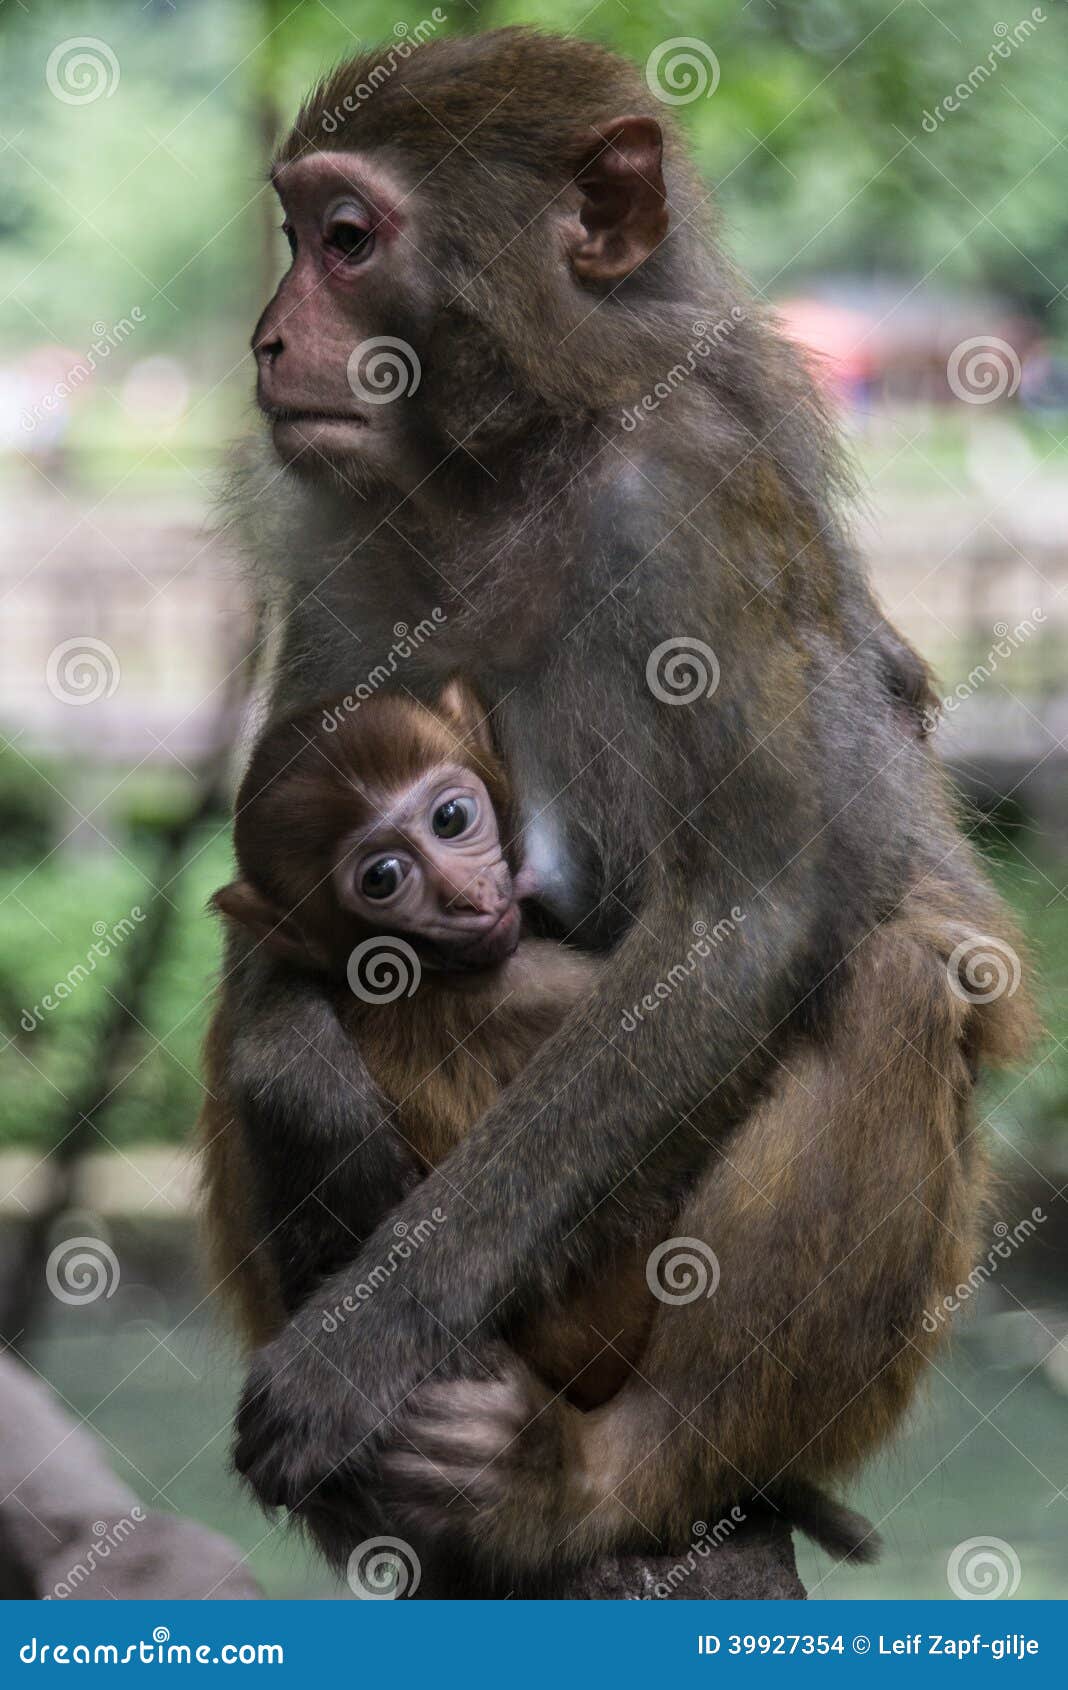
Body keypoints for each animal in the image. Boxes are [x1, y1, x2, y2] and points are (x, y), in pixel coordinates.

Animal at [199, 27, 1035, 1586]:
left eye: (347, 240)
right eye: (294, 237)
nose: (268, 341)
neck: (519, 459)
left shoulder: (692, 499)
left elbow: (755, 911)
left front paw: (369, 1337)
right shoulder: (346, 530)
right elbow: (267, 924)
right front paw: (305, 1080)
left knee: (893, 983)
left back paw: (597, 1480)